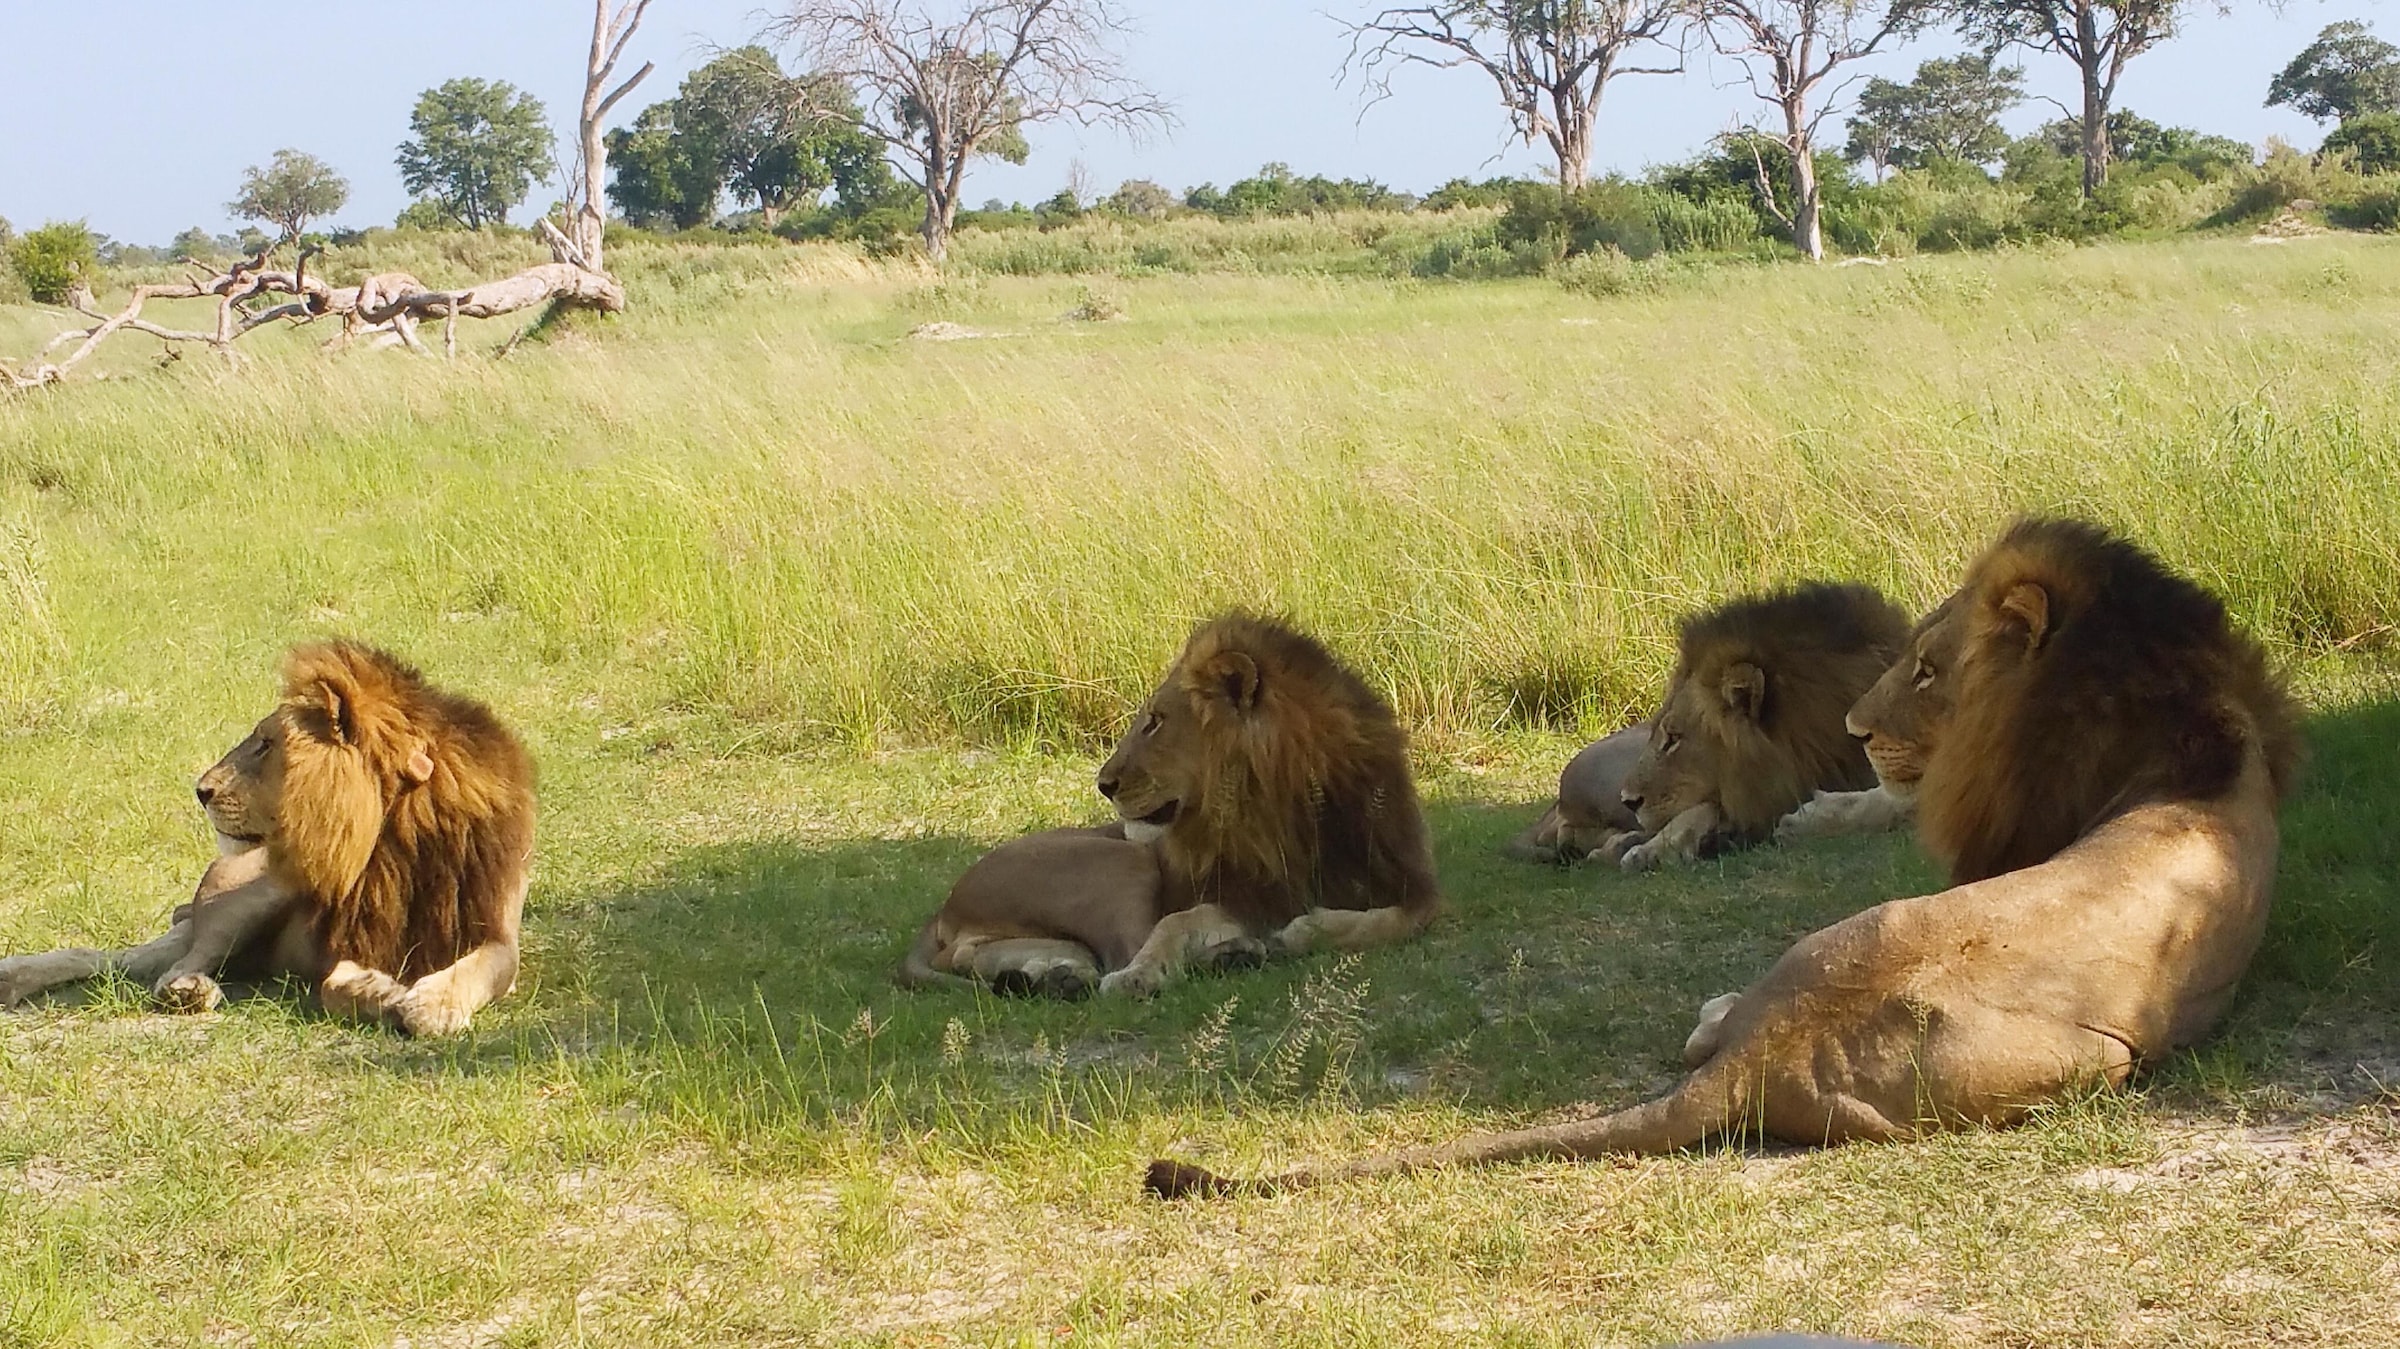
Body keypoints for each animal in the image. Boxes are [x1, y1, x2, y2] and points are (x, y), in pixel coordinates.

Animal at [0, 641, 536, 1037]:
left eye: (265, 744)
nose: (200, 790)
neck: (398, 836)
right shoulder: (348, 941)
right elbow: (334, 987)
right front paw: (382, 994)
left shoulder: (496, 935)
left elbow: (473, 970)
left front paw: (433, 1003)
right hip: (255, 895)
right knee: (172, 966)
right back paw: (190, 991)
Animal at [899, 612, 1442, 999]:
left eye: (1156, 721)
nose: (1104, 784)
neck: (1286, 805)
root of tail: (948, 903)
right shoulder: (1245, 896)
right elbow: (1176, 922)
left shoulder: (1415, 883)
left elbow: (1394, 920)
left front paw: (1304, 930)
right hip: (1120, 860)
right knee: (1115, 950)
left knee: (980, 955)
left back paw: (1060, 977)